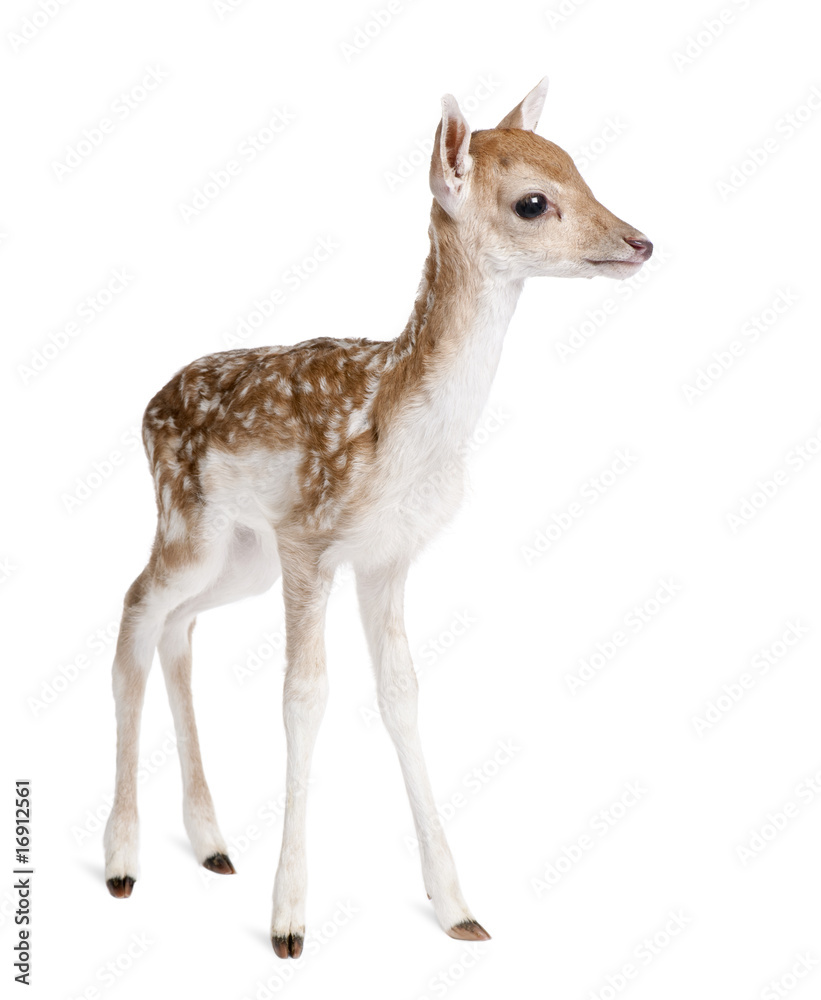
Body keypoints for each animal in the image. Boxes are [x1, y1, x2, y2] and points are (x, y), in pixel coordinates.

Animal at [103, 77, 652, 957]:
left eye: (579, 166)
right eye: (533, 201)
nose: (639, 242)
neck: (402, 430)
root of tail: (148, 404)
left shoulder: (387, 555)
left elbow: (401, 691)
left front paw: (457, 907)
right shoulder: (310, 540)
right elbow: (304, 698)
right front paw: (289, 922)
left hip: (241, 557)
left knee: (178, 627)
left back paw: (212, 843)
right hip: (188, 520)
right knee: (134, 609)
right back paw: (123, 861)